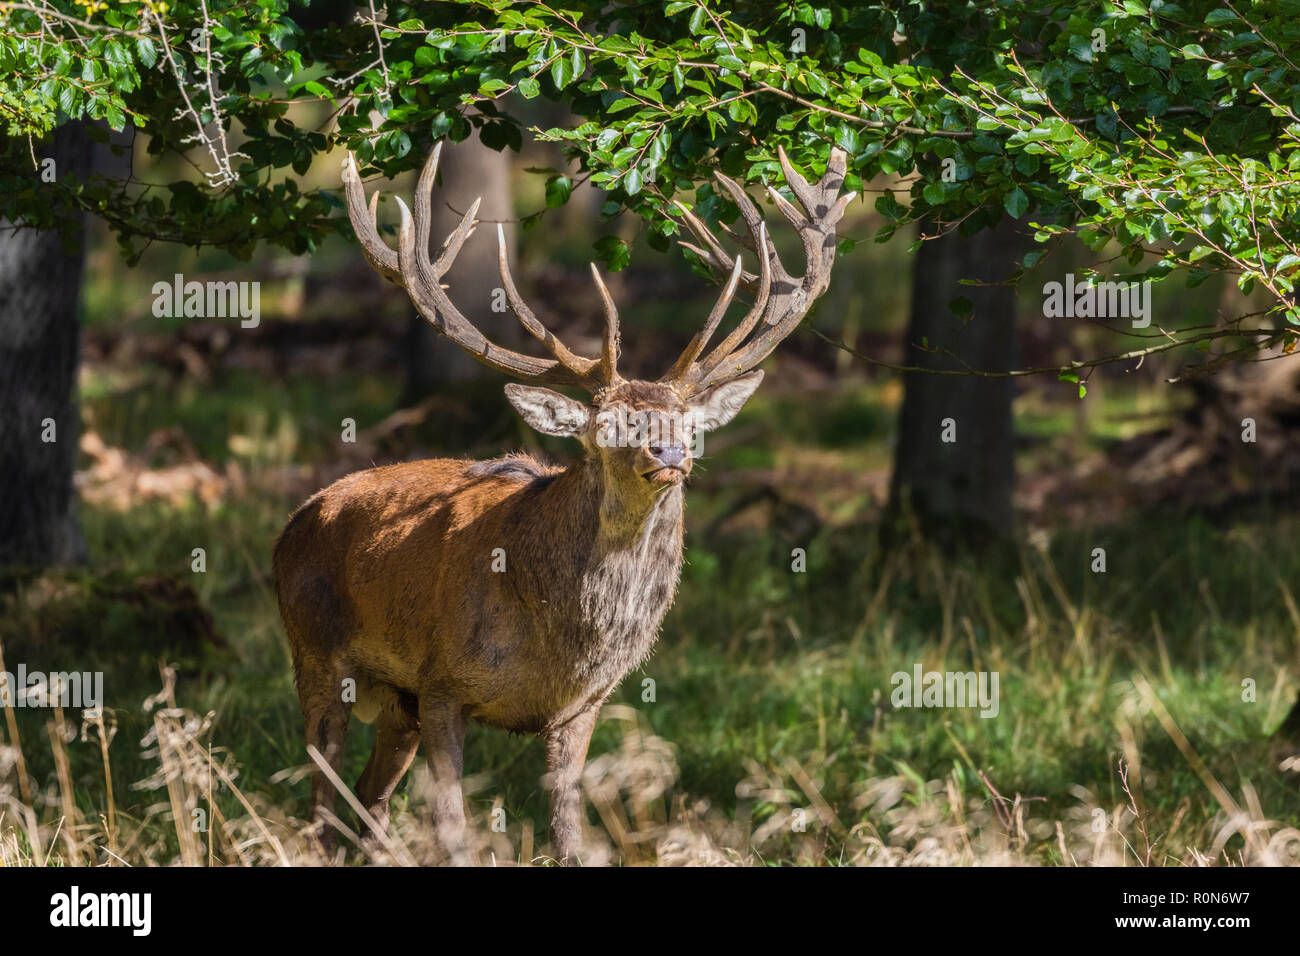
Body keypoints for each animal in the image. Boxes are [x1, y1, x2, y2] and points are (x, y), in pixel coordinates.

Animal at [272, 140, 851, 863]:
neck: (561, 641)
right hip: (317, 655)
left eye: (689, 424)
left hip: (394, 702)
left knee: (367, 802)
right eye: (609, 425)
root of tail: (293, 522)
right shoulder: (441, 684)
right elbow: (454, 833)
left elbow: (568, 837)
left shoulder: (582, 705)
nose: (669, 454)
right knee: (321, 808)